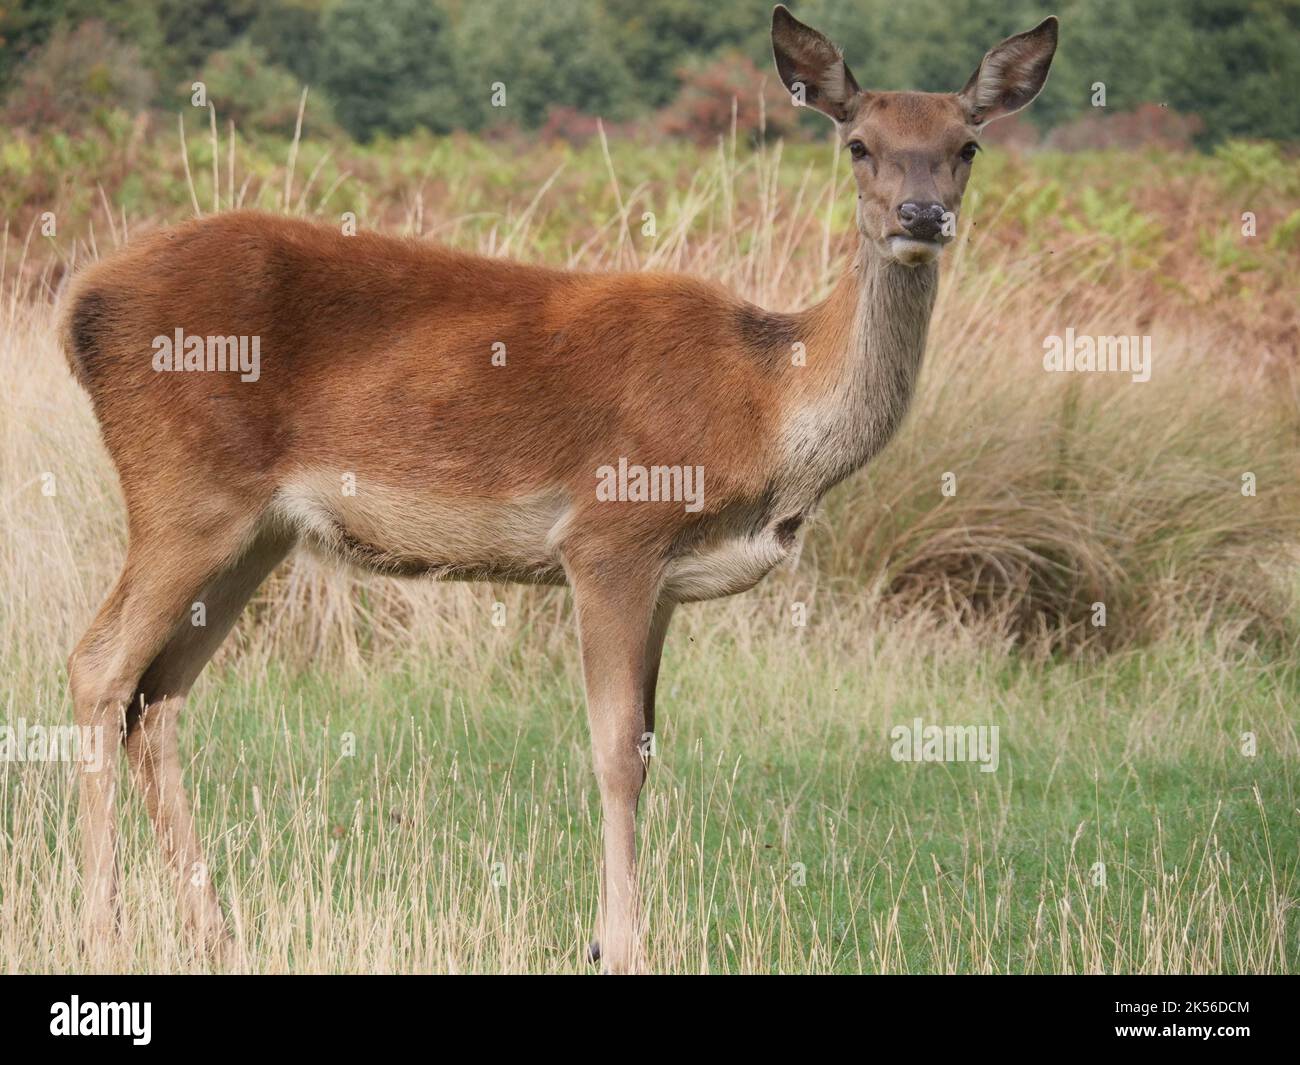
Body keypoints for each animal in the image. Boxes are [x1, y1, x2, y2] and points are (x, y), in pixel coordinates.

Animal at [60, 6, 1057, 973]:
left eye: (968, 144)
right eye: (857, 142)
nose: (921, 215)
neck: (768, 411)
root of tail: (79, 307)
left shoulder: (666, 580)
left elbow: (649, 744)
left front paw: (607, 936)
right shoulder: (610, 533)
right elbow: (613, 751)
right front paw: (621, 947)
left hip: (257, 531)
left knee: (157, 699)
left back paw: (221, 939)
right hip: (184, 490)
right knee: (98, 664)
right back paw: (103, 932)